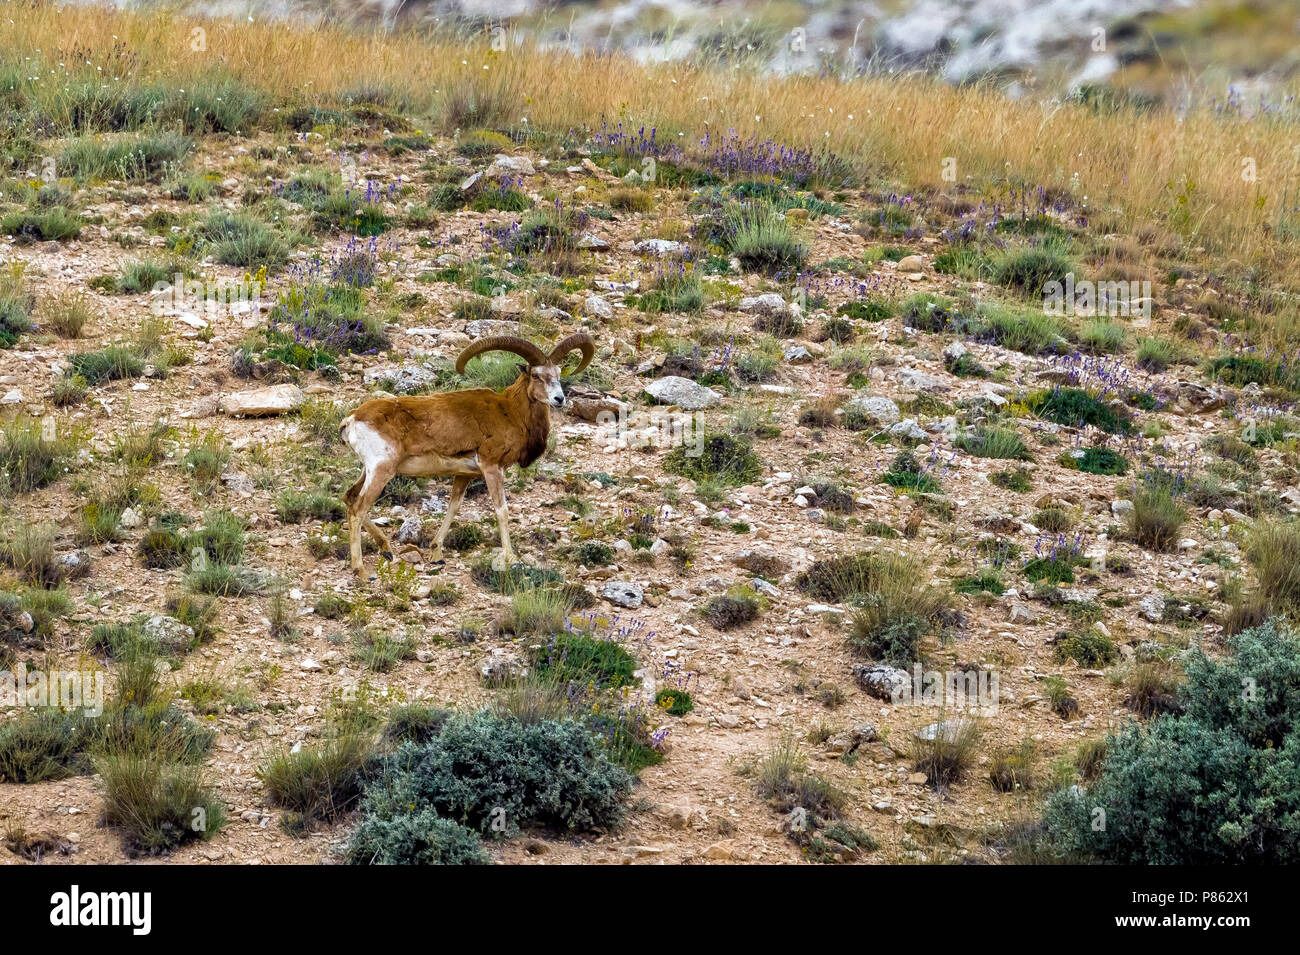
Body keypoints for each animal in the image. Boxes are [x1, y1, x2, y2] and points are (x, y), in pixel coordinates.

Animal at [339, 332, 594, 575]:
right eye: (536, 375)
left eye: (558, 373)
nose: (559, 399)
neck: (509, 412)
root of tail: (352, 419)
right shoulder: (492, 468)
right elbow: (501, 510)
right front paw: (512, 559)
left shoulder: (464, 475)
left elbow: (454, 506)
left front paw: (436, 553)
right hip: (382, 471)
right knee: (358, 509)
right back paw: (361, 571)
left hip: (370, 471)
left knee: (349, 497)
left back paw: (386, 549)